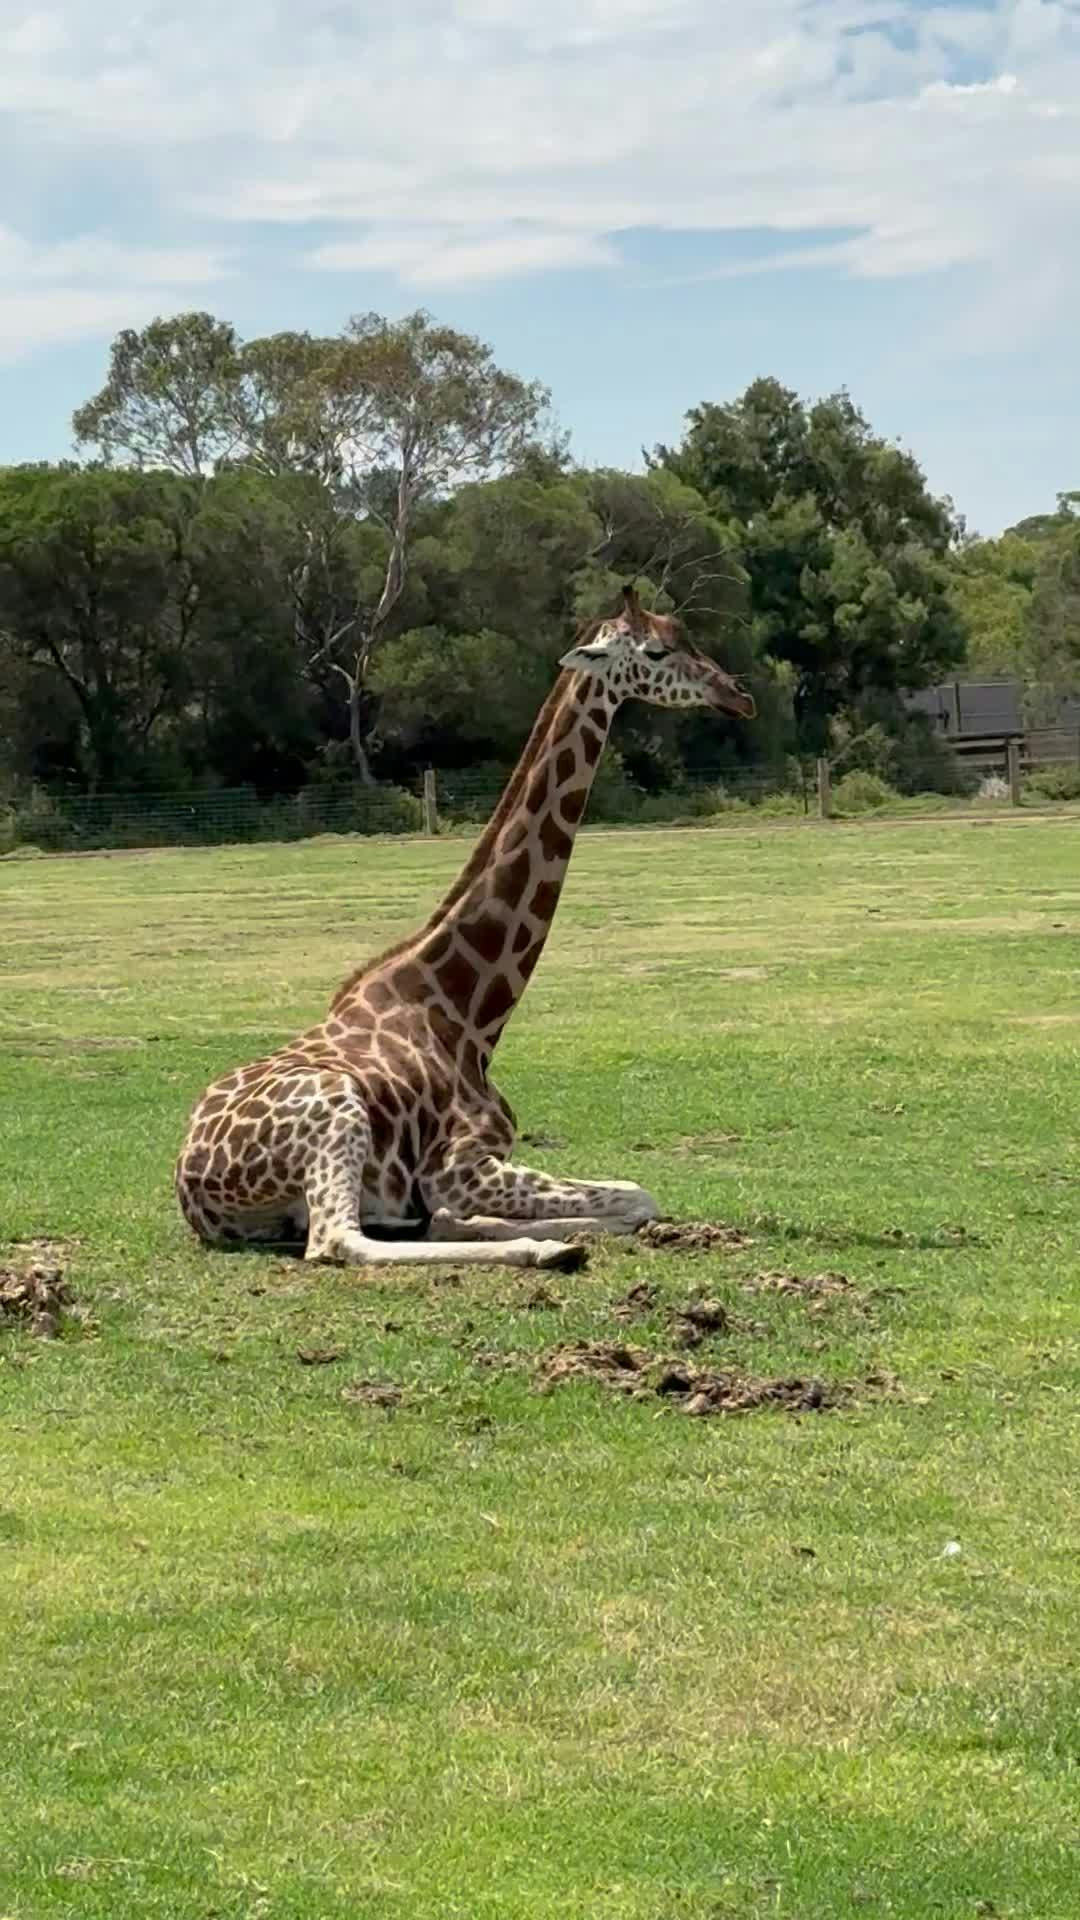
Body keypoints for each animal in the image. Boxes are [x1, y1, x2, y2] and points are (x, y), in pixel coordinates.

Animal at [175, 586, 755, 1273]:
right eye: (656, 651)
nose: (737, 695)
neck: (468, 1016)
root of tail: (192, 1190)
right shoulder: (456, 1165)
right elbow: (639, 1194)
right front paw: (547, 1235)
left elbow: (629, 1200)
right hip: (335, 1112)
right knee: (337, 1239)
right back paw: (546, 1247)